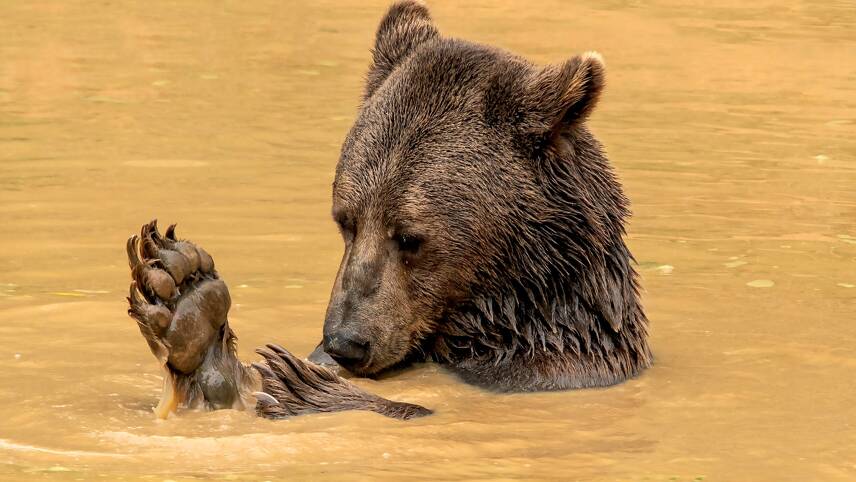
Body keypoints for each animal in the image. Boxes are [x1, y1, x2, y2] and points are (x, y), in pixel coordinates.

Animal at [125, 1, 651, 420]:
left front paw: (303, 387)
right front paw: (188, 303)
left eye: (411, 236)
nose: (346, 343)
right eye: (346, 220)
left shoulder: (547, 370)